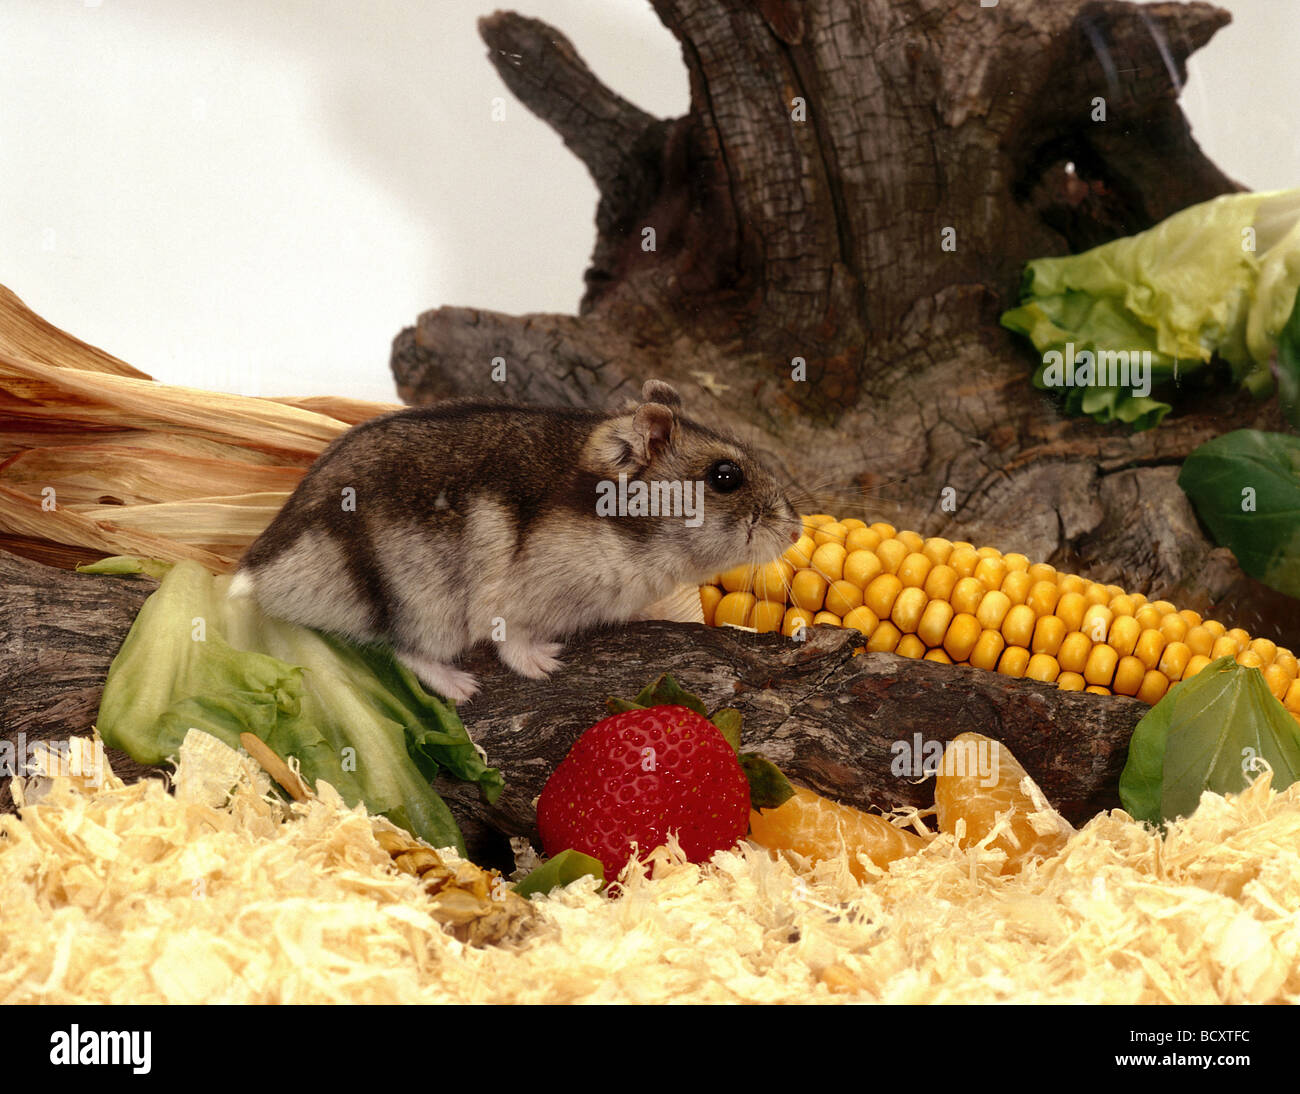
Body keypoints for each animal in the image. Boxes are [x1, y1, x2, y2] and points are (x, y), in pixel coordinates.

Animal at [231, 380, 802, 702]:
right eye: (725, 477)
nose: (796, 529)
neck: (631, 533)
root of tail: (257, 570)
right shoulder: (518, 603)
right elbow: (513, 643)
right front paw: (547, 665)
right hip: (426, 609)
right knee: (405, 651)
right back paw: (462, 689)